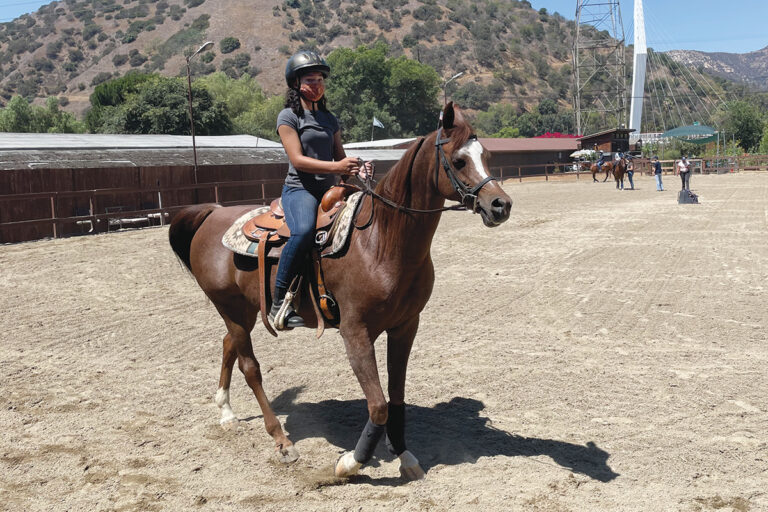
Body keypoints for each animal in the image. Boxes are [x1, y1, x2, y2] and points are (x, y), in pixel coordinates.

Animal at [167, 102, 512, 481]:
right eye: (459, 160)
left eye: (487, 156)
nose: (501, 205)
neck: (380, 241)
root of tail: (213, 214)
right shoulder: (355, 331)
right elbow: (378, 405)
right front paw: (350, 463)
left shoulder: (406, 326)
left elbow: (396, 398)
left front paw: (404, 453)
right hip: (229, 307)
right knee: (250, 367)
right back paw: (281, 441)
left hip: (242, 311)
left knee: (228, 344)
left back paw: (227, 412)